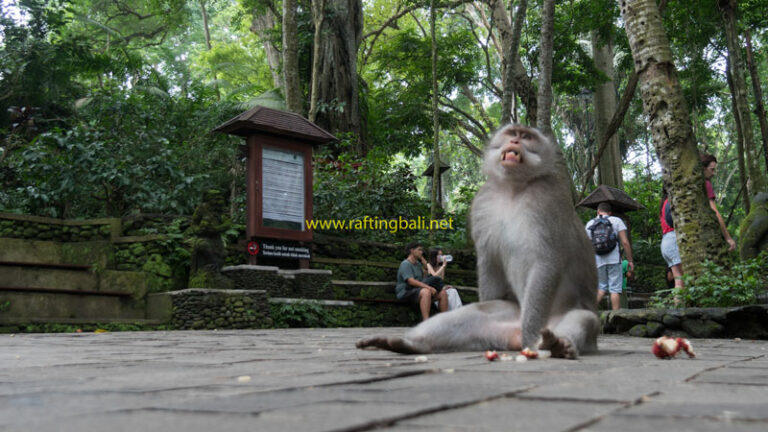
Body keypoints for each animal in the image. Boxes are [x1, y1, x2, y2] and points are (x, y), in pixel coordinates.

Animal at [356, 124, 599, 359]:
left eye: (527, 137)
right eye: (512, 133)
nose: (515, 141)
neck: (512, 188)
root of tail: (514, 337)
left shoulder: (547, 200)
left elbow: (547, 262)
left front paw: (532, 335)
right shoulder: (483, 201)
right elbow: (490, 261)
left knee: (583, 318)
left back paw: (559, 344)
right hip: (510, 314)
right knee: (473, 314)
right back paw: (406, 344)